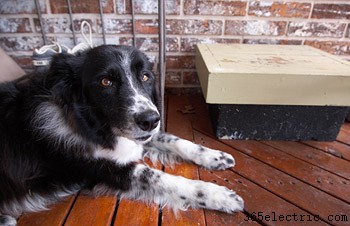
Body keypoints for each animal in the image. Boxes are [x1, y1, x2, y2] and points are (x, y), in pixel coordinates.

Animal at [0, 45, 243, 225]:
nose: (151, 120)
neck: (89, 125)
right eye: (105, 82)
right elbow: (158, 177)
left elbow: (174, 139)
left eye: (145, 77)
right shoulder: (103, 170)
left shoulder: (137, 136)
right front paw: (220, 195)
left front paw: (214, 156)